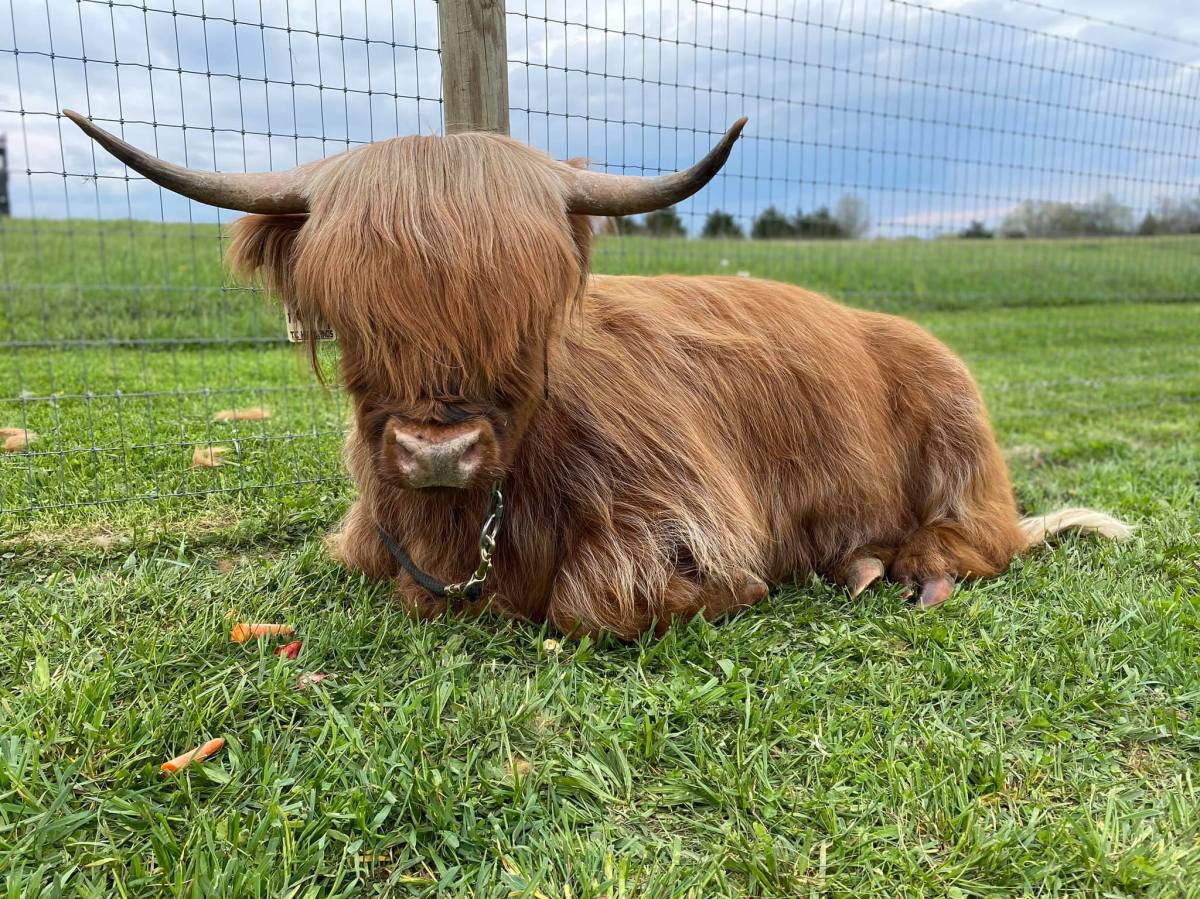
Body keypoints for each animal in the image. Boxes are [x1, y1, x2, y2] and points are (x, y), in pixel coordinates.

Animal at [65, 110, 1130, 638]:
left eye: (528, 315)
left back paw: (904, 565)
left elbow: (590, 603)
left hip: (955, 422)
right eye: (351, 319)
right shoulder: (371, 542)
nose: (438, 447)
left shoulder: (694, 522)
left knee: (985, 535)